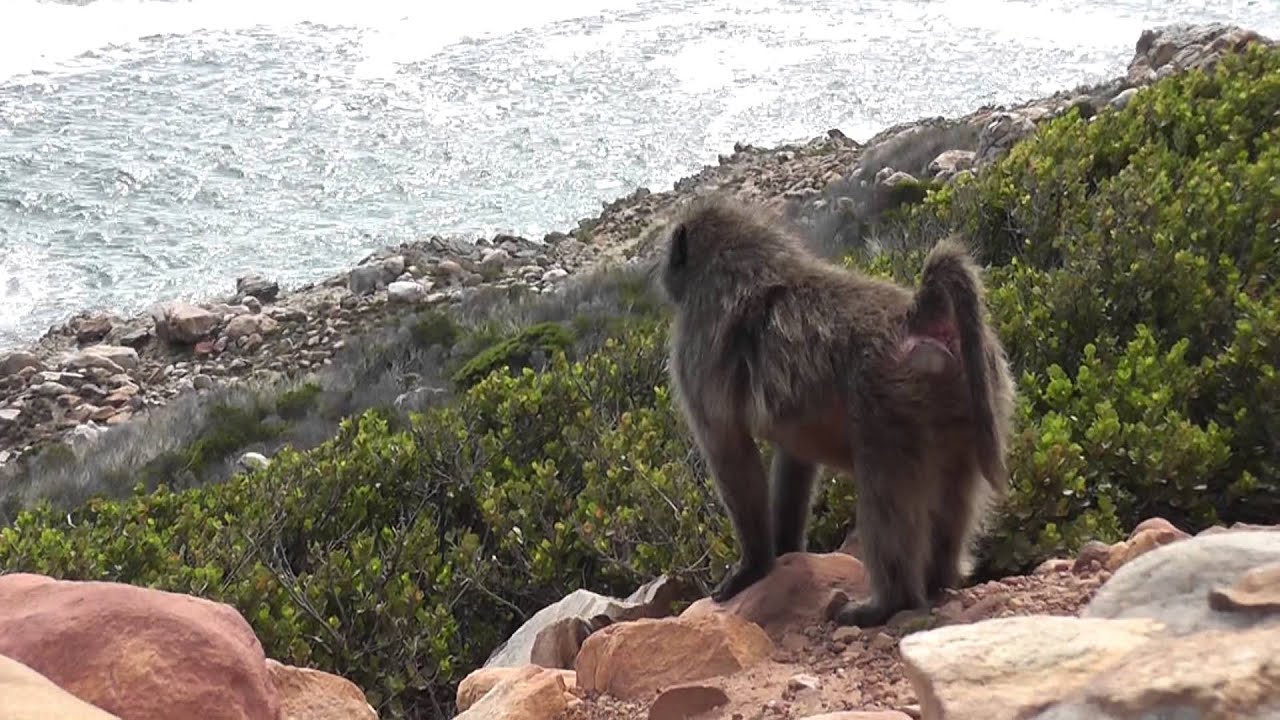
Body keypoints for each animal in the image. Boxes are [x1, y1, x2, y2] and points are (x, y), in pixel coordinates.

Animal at [654, 195, 1016, 628]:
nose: (662, 271)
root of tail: (919, 317)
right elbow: (794, 459)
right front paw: (787, 549)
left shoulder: (694, 352)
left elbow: (731, 455)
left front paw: (752, 568)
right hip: (973, 399)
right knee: (952, 496)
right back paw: (937, 583)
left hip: (889, 406)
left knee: (885, 500)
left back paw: (885, 604)